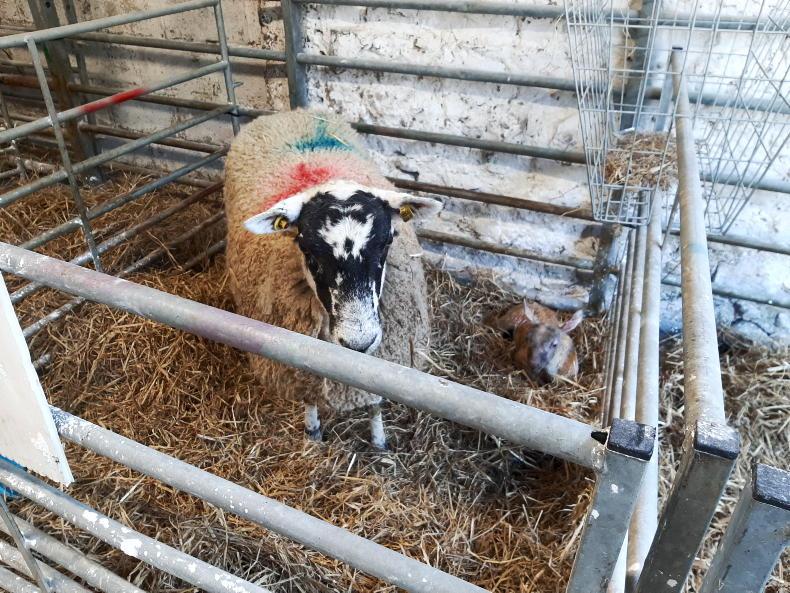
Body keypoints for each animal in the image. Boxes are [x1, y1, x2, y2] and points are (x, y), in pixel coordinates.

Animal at [224, 110, 442, 449]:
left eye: (387, 243)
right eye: (309, 254)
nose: (359, 342)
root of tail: (290, 112)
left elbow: (376, 401)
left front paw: (379, 442)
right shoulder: (299, 369)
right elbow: (309, 396)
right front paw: (312, 432)